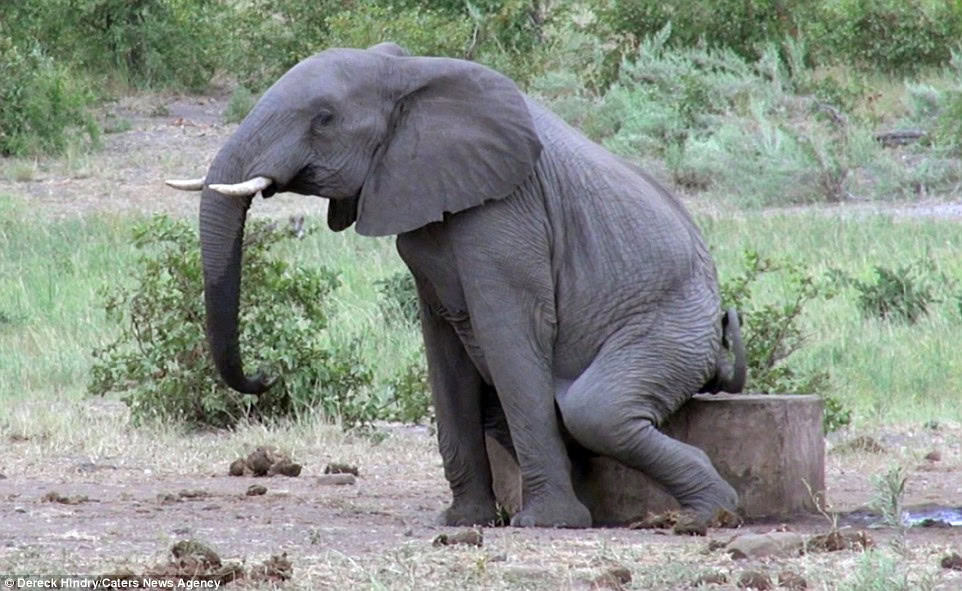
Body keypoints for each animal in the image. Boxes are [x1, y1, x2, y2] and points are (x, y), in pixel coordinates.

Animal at [166, 42, 747, 529]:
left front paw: (547, 524)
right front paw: (464, 521)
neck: (411, 71)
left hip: (673, 332)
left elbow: (509, 331)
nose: (266, 375)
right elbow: (444, 348)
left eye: (323, 119)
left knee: (596, 412)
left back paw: (707, 516)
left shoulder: (506, 211)